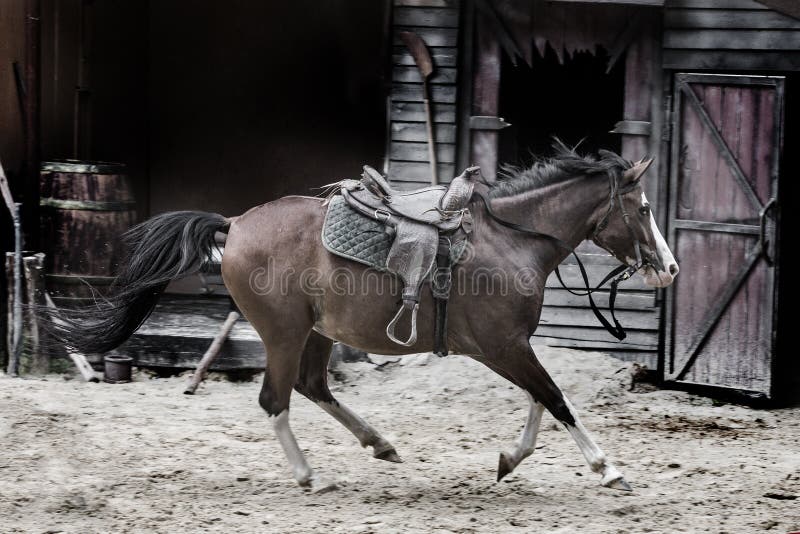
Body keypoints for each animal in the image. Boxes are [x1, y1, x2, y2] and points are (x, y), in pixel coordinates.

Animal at [47, 145, 679, 493]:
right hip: (284, 333)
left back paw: (380, 444)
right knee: (276, 399)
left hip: (319, 333)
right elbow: (555, 400)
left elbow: (541, 401)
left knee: (312, 387)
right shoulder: (503, 346)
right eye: (645, 207)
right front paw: (607, 469)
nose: (670, 268)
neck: (509, 240)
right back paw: (311, 476)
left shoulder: (511, 347)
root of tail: (235, 223)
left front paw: (509, 460)